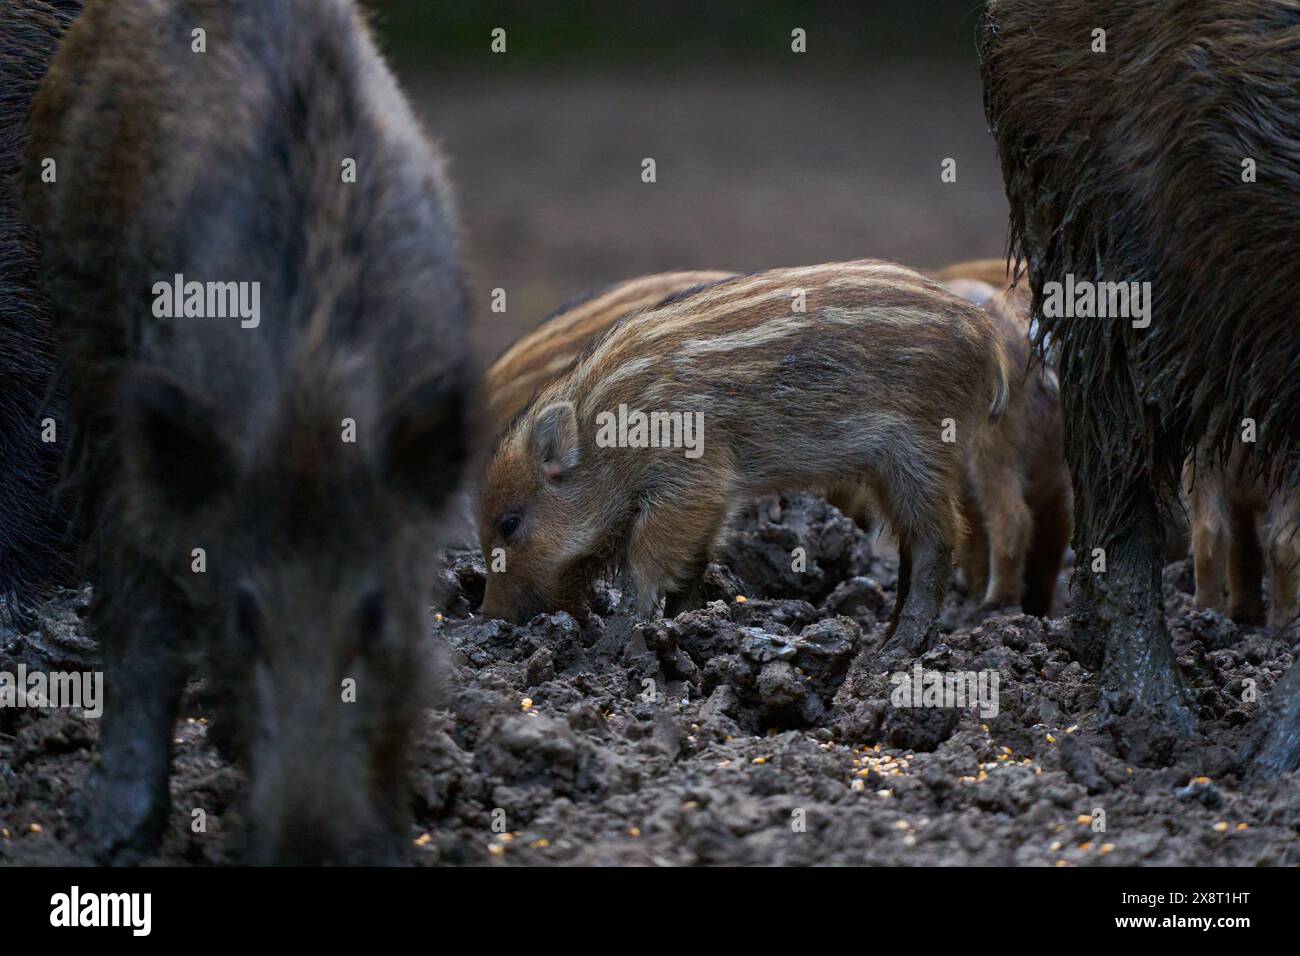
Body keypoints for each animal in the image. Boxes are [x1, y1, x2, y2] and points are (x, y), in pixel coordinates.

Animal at [478, 261, 1009, 656]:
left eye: (509, 524)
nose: (488, 617)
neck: (608, 437)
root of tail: (986, 334)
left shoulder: (690, 478)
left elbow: (645, 563)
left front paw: (614, 646)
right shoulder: (715, 495)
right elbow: (696, 557)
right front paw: (685, 622)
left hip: (921, 448)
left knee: (938, 537)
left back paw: (899, 647)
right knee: (908, 540)